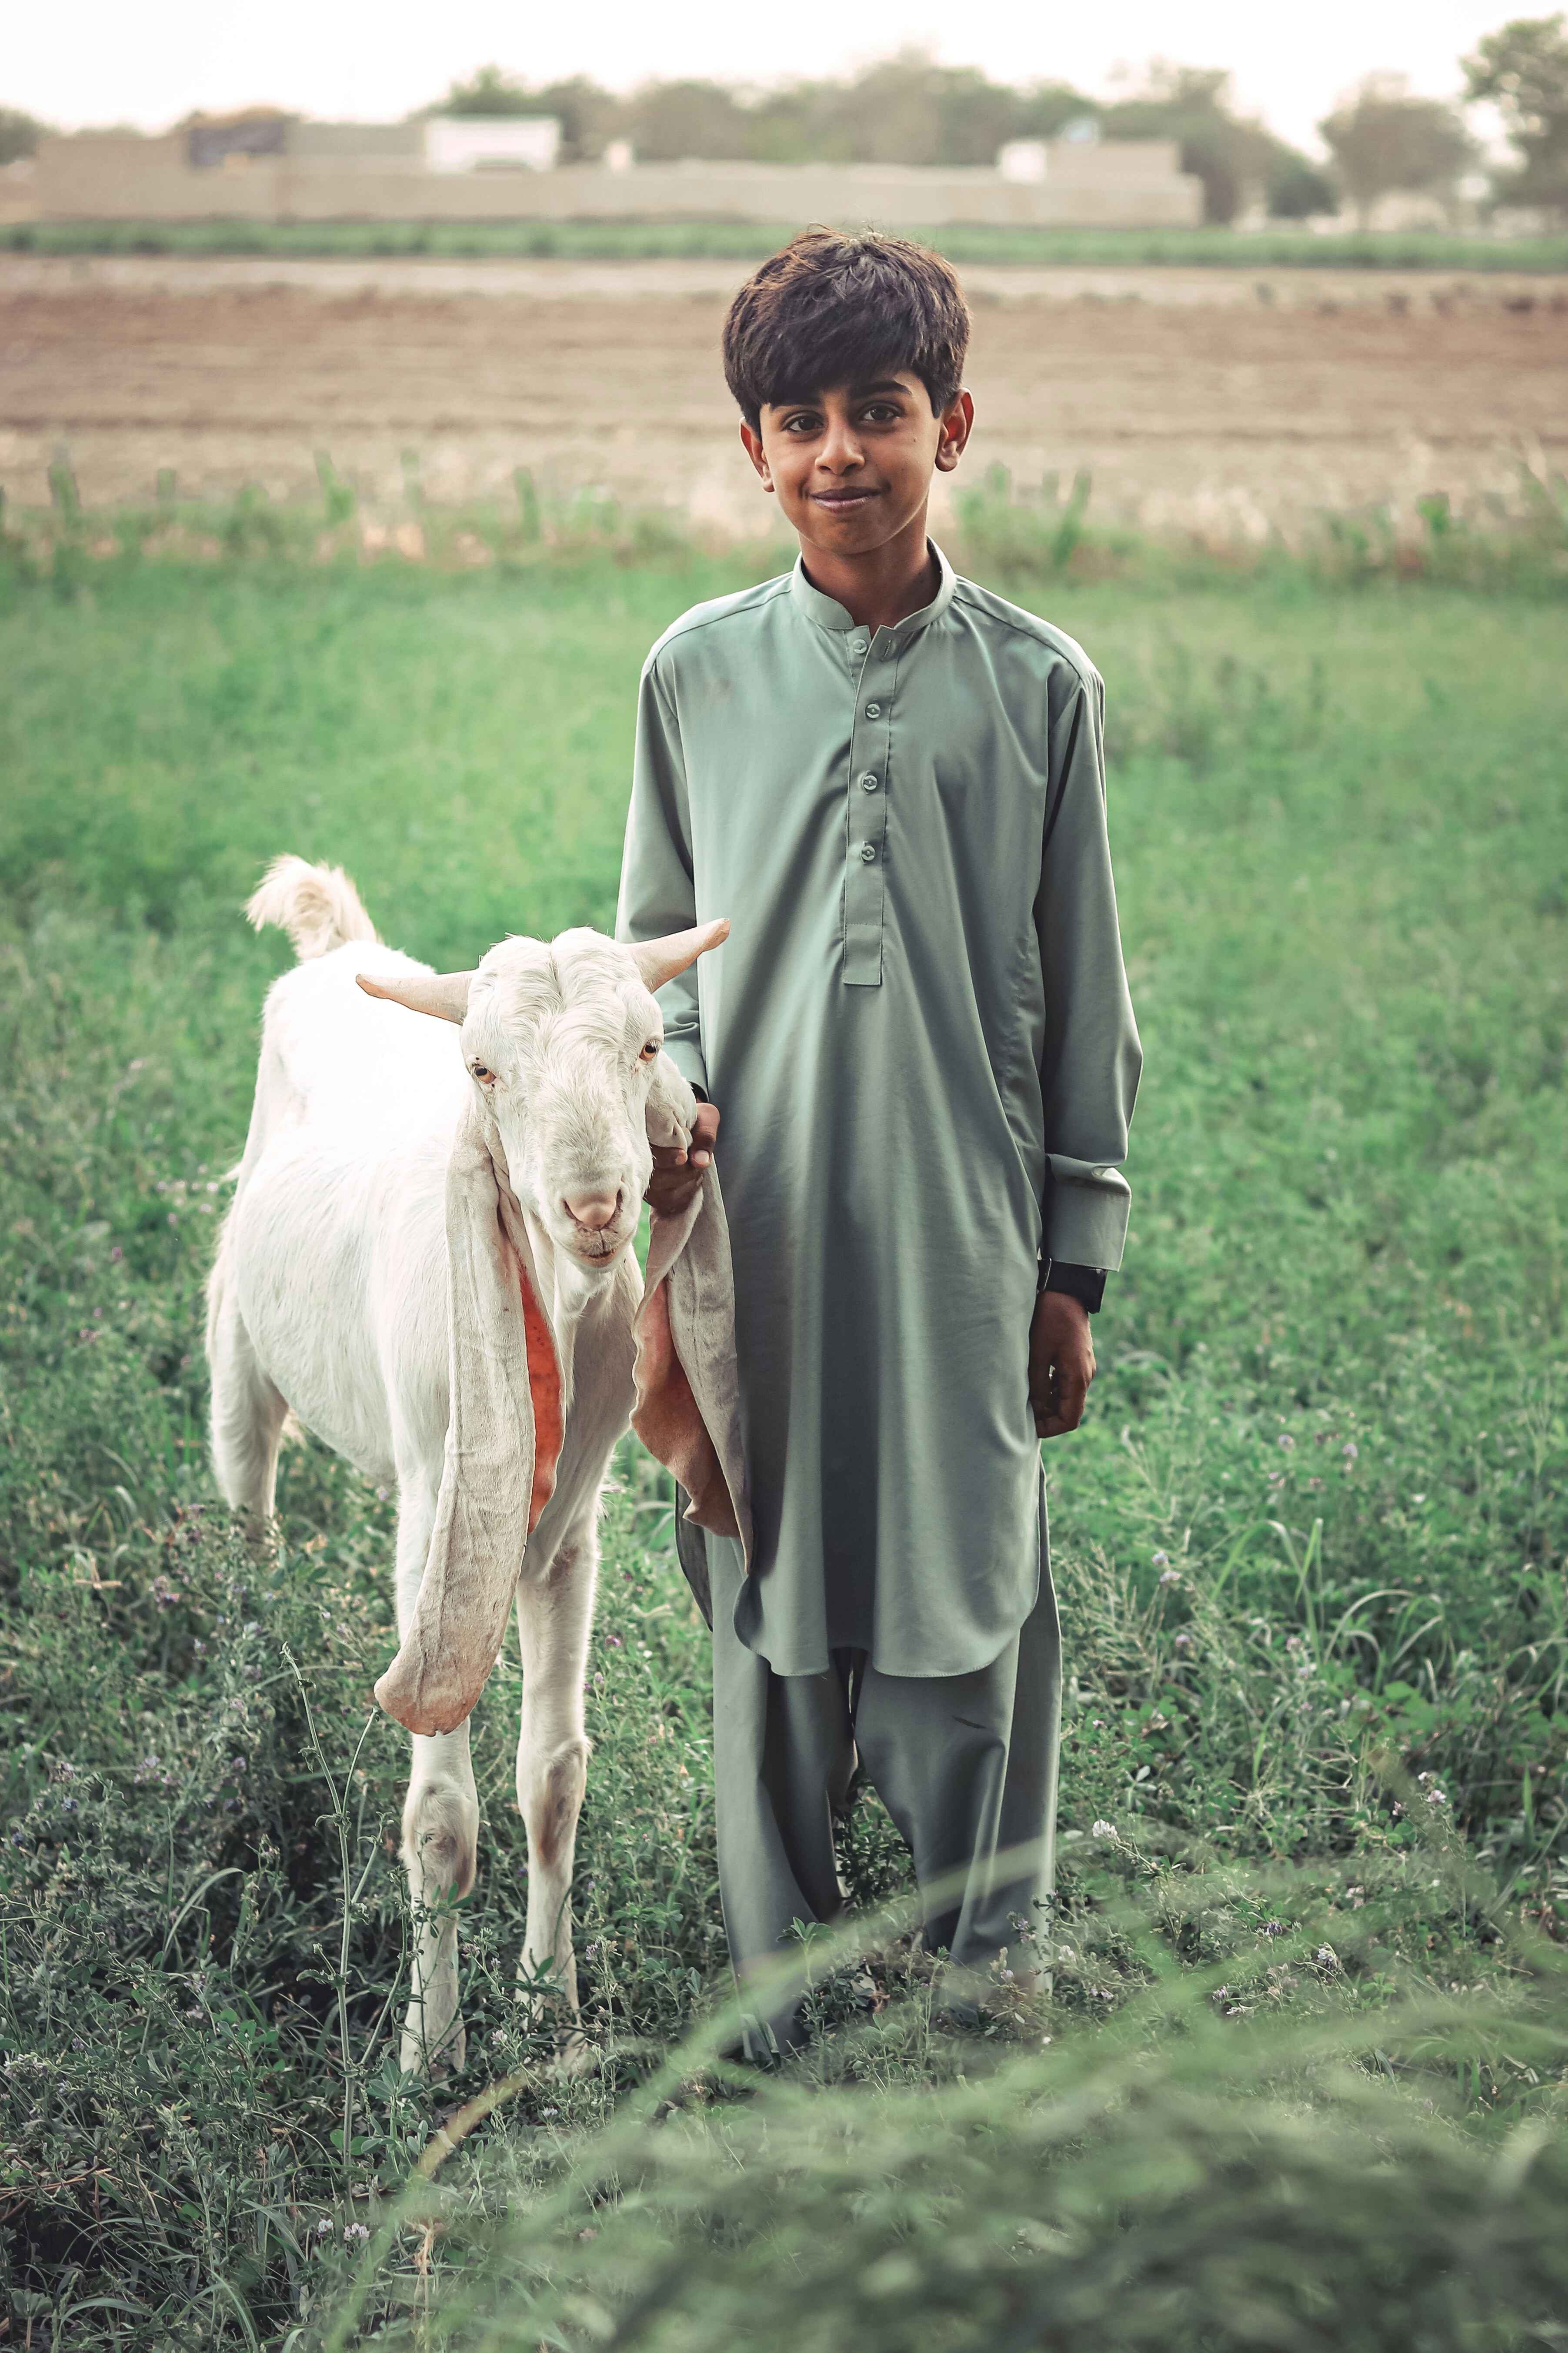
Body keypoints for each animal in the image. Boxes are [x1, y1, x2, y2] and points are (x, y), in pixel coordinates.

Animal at [207, 856, 745, 2075]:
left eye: (649, 1044)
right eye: (484, 1069)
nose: (595, 1205)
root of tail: (340, 954)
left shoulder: (569, 1531)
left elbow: (554, 1778)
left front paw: (553, 2009)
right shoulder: (446, 1534)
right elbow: (440, 1820)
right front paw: (431, 2053)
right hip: (238, 1339)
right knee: (250, 1515)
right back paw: (255, 1710)